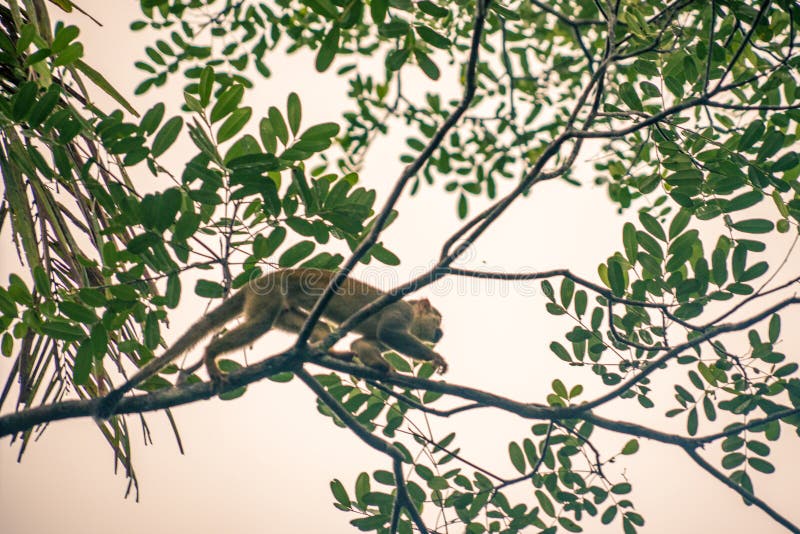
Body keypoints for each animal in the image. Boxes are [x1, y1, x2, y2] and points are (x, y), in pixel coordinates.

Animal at [96, 268, 445, 418]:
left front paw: (376, 364)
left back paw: (326, 350)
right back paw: (210, 356)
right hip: (271, 293)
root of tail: (257, 281)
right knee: (261, 322)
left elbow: (365, 343)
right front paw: (435, 359)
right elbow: (389, 334)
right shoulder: (400, 313)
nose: (441, 334)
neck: (412, 312)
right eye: (438, 320)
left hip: (281, 306)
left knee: (311, 325)